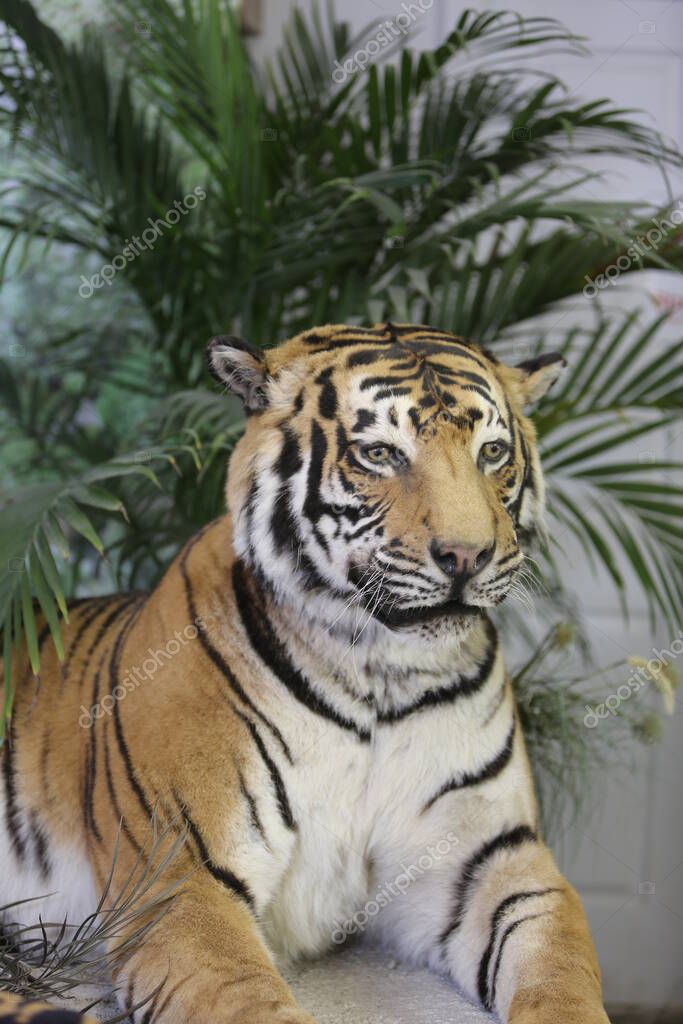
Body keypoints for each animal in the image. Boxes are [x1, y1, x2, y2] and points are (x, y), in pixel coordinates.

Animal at [0, 322, 610, 1024]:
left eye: (491, 453)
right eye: (380, 453)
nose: (468, 555)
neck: (379, 671)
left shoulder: (489, 859)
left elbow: (561, 972)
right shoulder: (181, 873)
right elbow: (248, 1001)